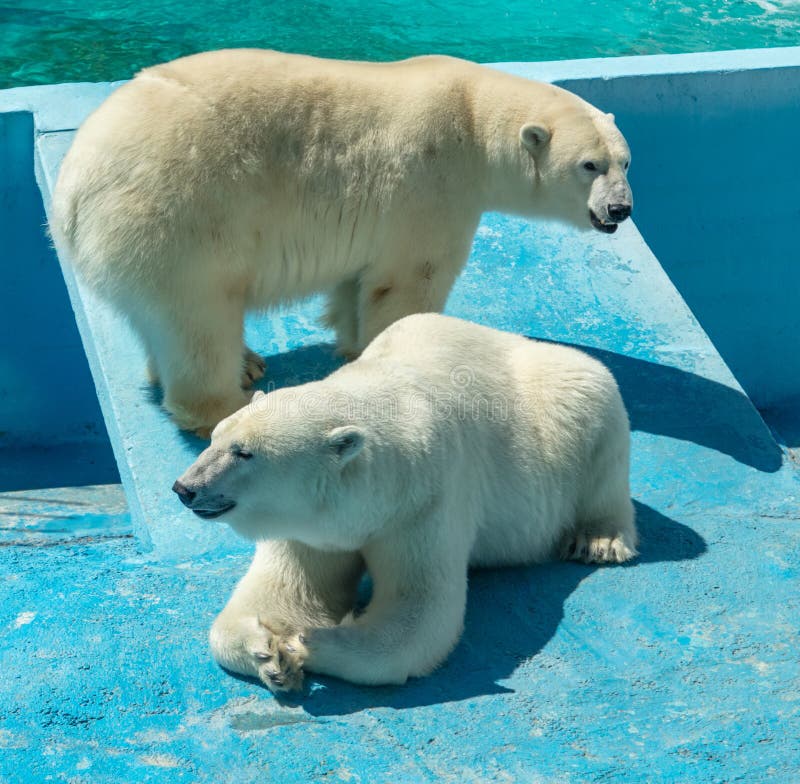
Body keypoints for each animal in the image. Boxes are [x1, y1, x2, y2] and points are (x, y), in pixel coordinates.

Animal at [51, 49, 633, 436]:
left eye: (625, 161)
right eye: (589, 165)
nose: (620, 210)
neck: (473, 117)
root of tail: (73, 187)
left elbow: (358, 283)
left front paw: (355, 347)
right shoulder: (431, 181)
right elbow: (408, 281)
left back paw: (243, 363)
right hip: (180, 216)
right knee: (198, 318)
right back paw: (231, 398)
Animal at [172, 313, 637, 691]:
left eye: (244, 453)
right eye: (215, 437)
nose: (184, 487)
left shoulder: (424, 499)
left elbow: (419, 612)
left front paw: (309, 643)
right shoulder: (311, 528)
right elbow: (283, 592)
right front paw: (269, 653)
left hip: (566, 407)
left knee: (599, 430)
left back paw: (599, 540)